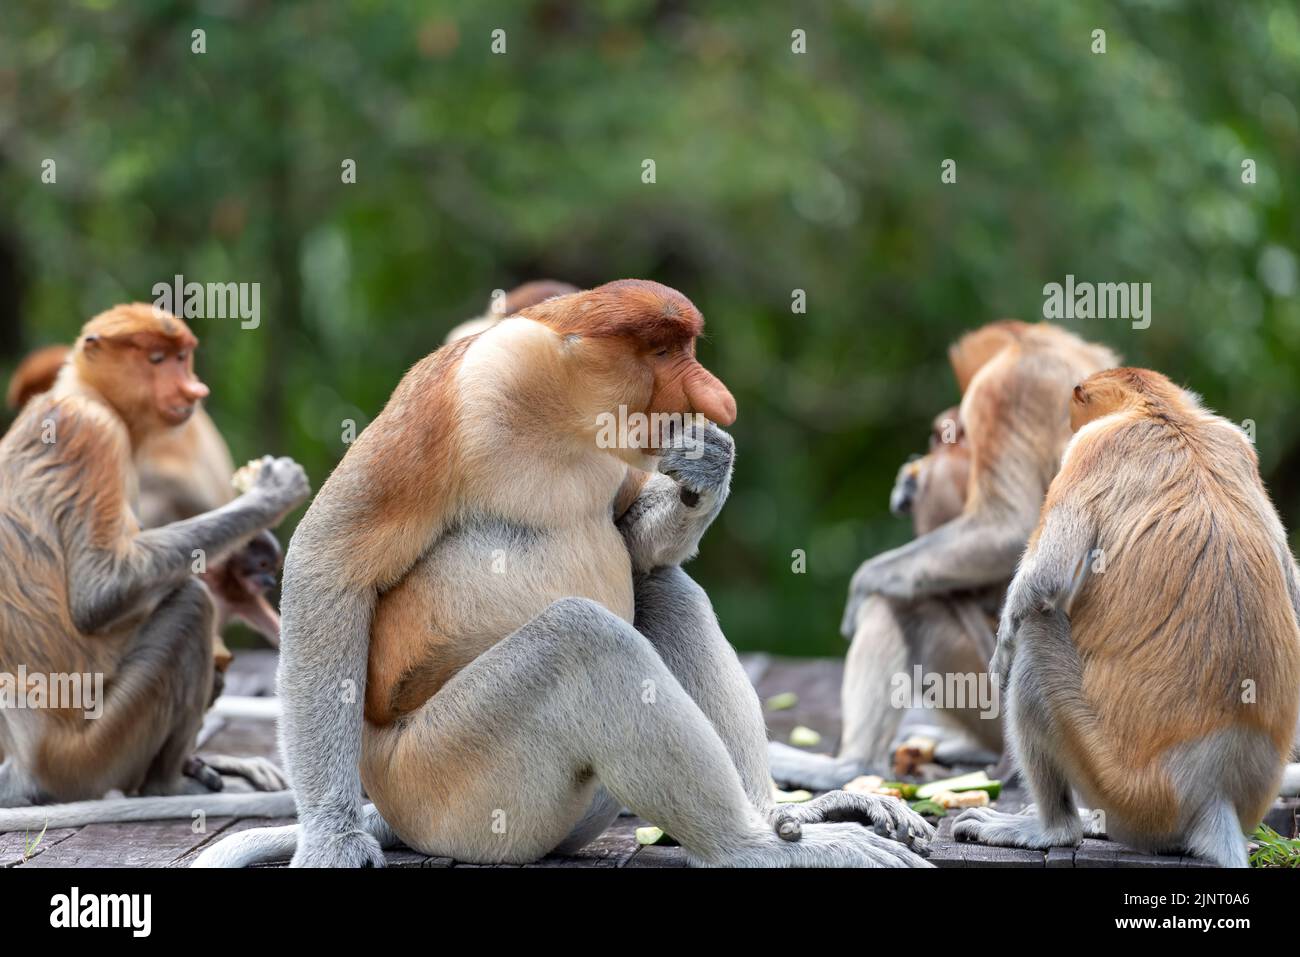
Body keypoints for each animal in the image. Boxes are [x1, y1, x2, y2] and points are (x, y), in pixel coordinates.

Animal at [0, 304, 309, 825]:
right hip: (93, 755)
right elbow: (97, 594)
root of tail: (27, 764)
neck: (84, 391)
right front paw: (271, 492)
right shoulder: (93, 432)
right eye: (157, 359)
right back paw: (170, 784)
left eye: (183, 358)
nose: (194, 391)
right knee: (191, 606)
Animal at [195, 279, 935, 868]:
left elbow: (633, 548)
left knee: (660, 588)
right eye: (661, 352)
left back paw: (785, 815)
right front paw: (332, 840)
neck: (568, 412)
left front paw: (707, 465)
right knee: (581, 641)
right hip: (448, 786)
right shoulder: (455, 394)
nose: (718, 400)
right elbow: (329, 563)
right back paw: (756, 848)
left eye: (687, 348)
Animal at [954, 368, 1300, 867]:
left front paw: (1000, 653)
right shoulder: (1236, 442)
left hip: (1121, 785)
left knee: (1036, 640)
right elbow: (1292, 582)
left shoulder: (1090, 450)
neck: (1163, 413)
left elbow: (1045, 581)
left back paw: (1052, 829)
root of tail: (1212, 794)